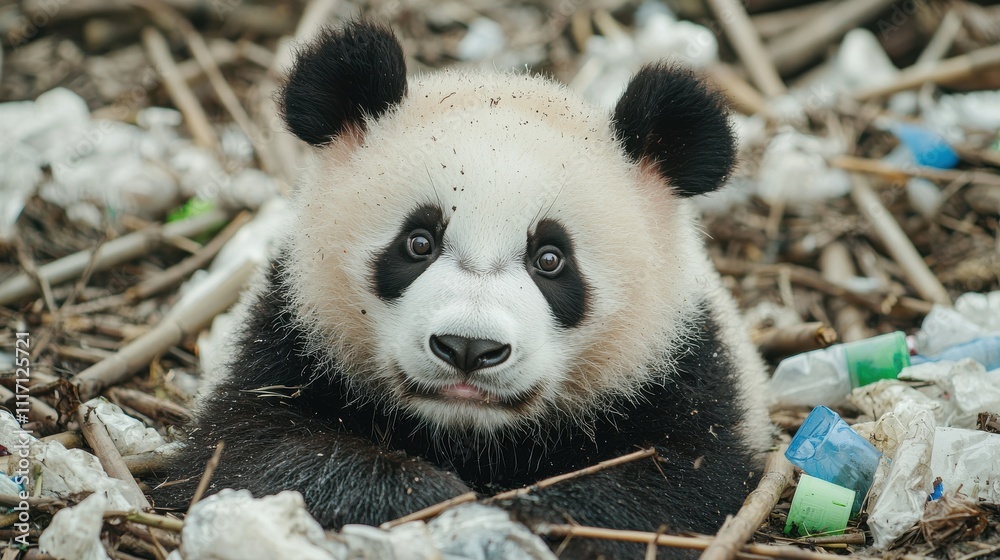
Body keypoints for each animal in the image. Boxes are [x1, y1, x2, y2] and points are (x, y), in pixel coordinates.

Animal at [157, 20, 773, 559]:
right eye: (418, 242)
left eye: (551, 260)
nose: (468, 348)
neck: (470, 435)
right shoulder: (286, 331)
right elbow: (247, 454)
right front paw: (426, 497)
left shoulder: (687, 368)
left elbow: (680, 485)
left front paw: (532, 512)